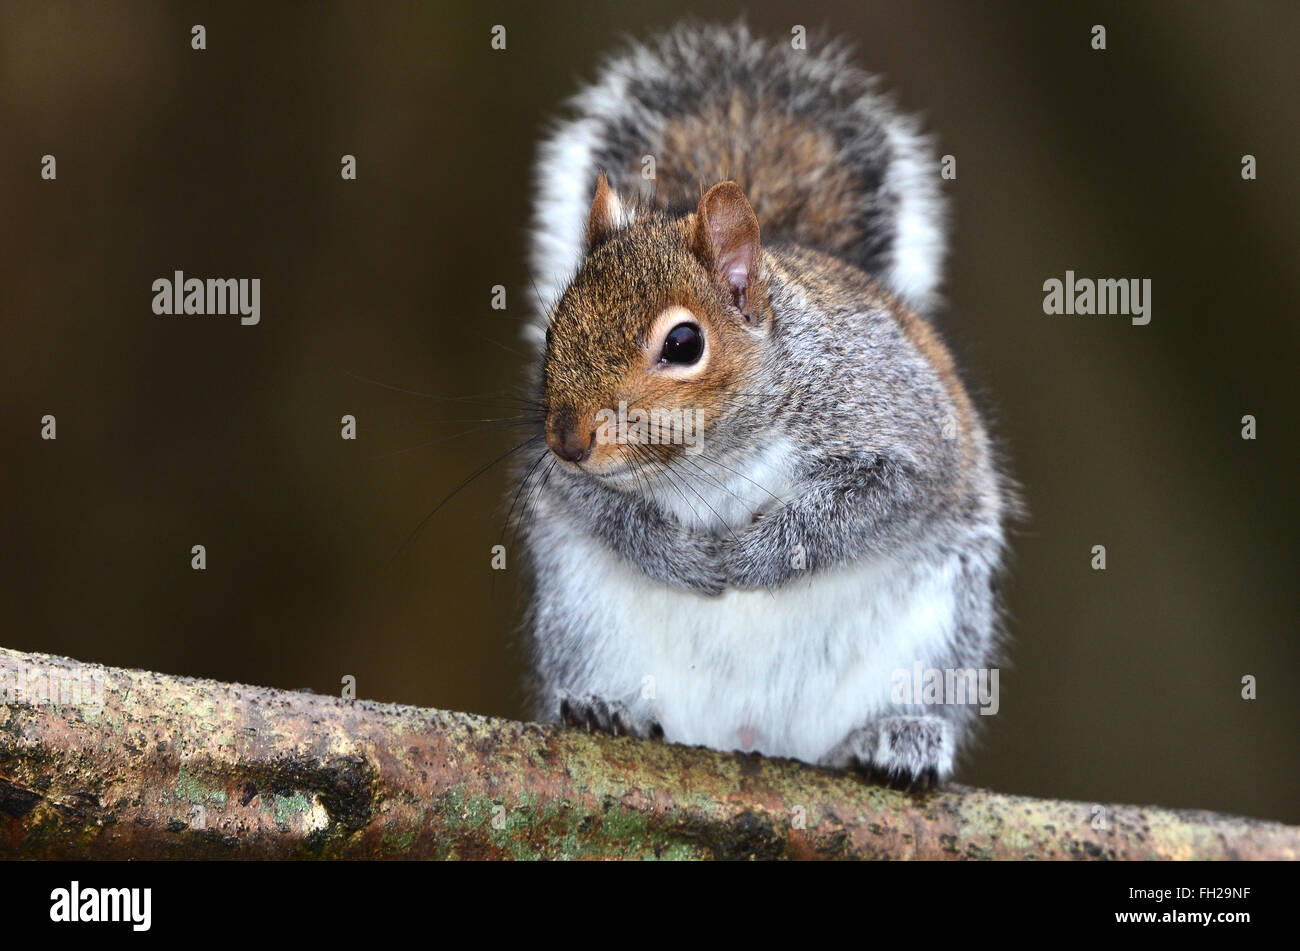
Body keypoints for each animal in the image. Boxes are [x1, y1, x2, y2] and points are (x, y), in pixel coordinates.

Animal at [518, 22, 1013, 786]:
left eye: (684, 342)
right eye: (553, 328)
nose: (569, 442)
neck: (712, 455)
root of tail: (750, 738)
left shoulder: (901, 430)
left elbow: (867, 505)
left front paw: (751, 556)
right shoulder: (570, 488)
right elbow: (607, 513)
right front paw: (683, 558)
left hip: (936, 633)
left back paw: (899, 736)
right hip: (581, 617)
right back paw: (608, 705)